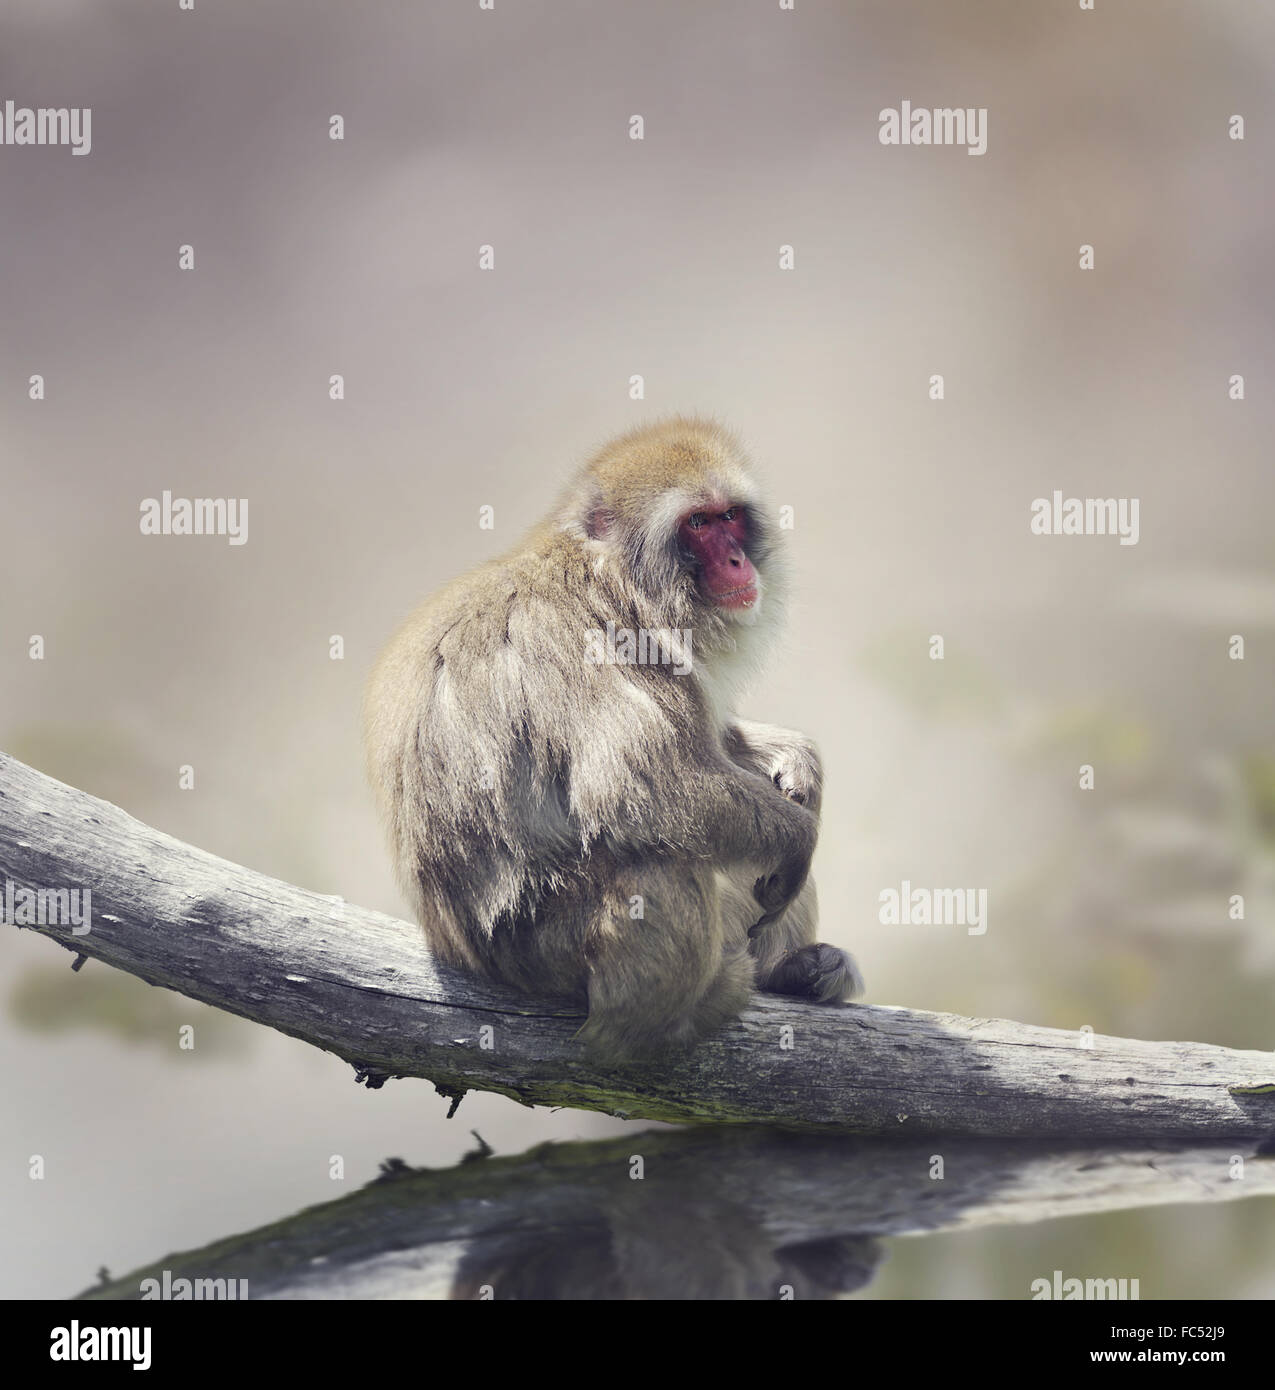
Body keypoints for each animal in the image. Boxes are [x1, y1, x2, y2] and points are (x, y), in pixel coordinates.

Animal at [363, 416, 863, 1060]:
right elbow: (638, 786)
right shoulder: (590, 643)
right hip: (552, 953)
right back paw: (660, 1025)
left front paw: (798, 761)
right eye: (697, 524)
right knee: (661, 860)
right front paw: (800, 836)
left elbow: (713, 744)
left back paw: (794, 971)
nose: (736, 561)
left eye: (730, 516)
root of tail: (455, 948)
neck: (610, 581)